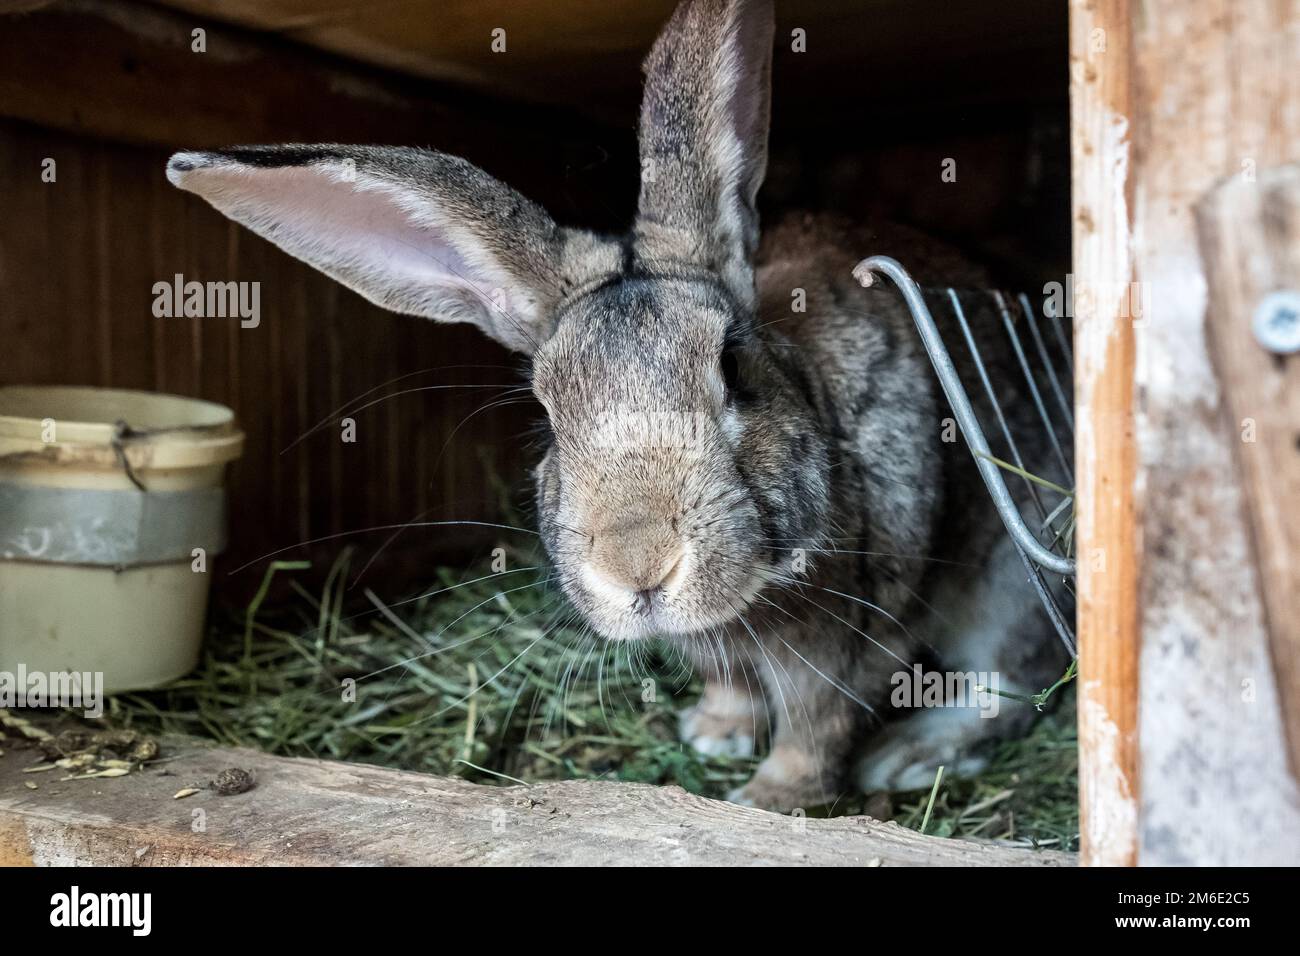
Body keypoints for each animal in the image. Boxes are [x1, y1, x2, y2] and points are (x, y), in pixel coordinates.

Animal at [166, 0, 1068, 812]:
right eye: (546, 410)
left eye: (733, 367)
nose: (640, 568)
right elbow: (737, 688)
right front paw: (714, 734)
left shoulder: (861, 634)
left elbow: (819, 725)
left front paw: (770, 800)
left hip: (1008, 589)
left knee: (1009, 686)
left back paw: (911, 754)